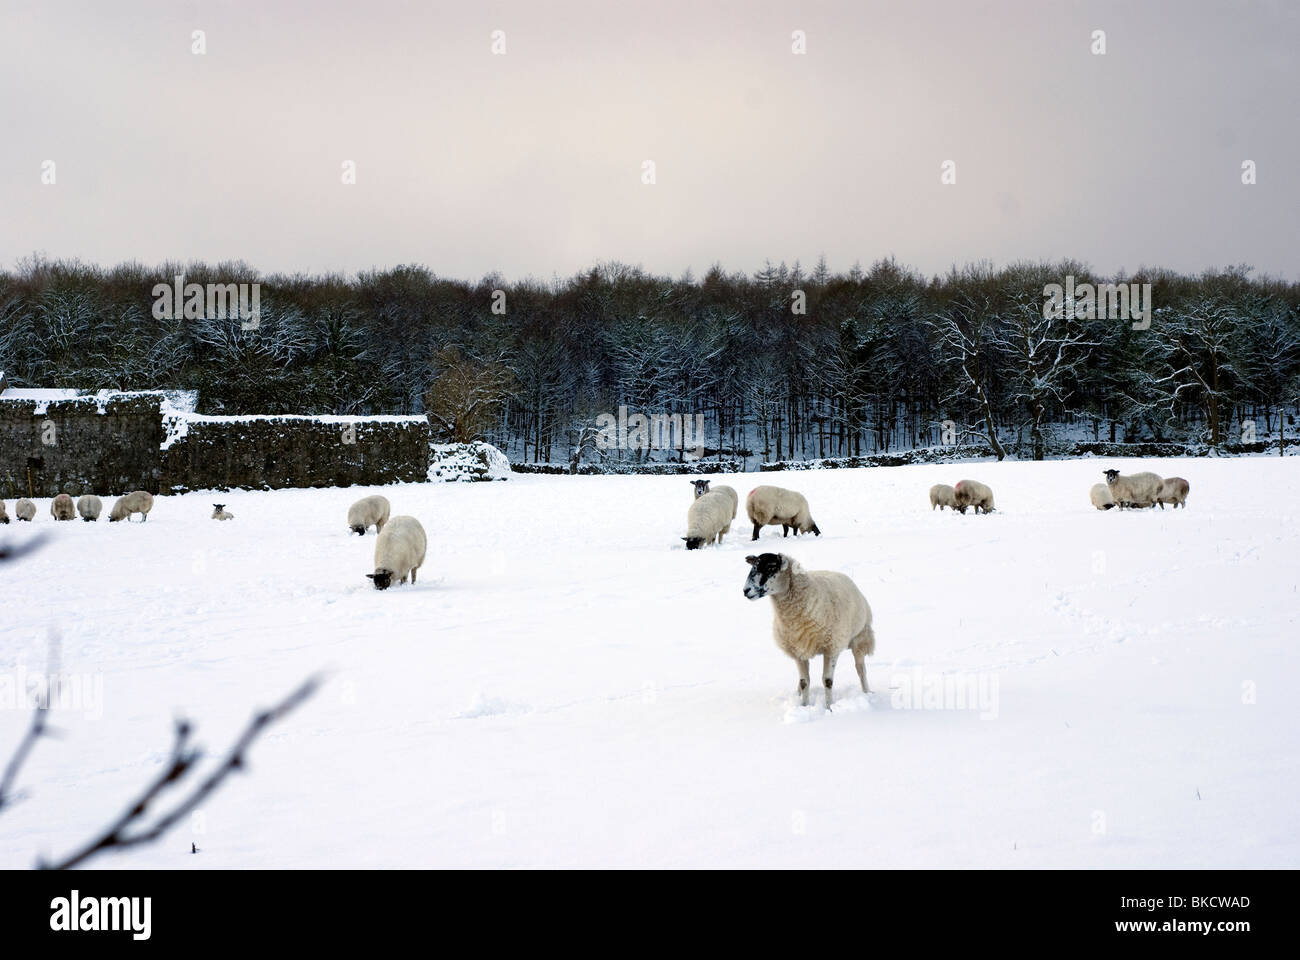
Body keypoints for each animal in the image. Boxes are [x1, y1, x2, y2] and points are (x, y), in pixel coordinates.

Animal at [743, 553, 875, 709]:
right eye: (753, 566)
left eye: (771, 567)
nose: (746, 590)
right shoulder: (799, 651)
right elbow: (804, 682)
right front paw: (804, 706)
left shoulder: (832, 648)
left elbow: (827, 681)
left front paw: (829, 707)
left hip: (859, 638)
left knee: (861, 670)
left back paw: (867, 693)